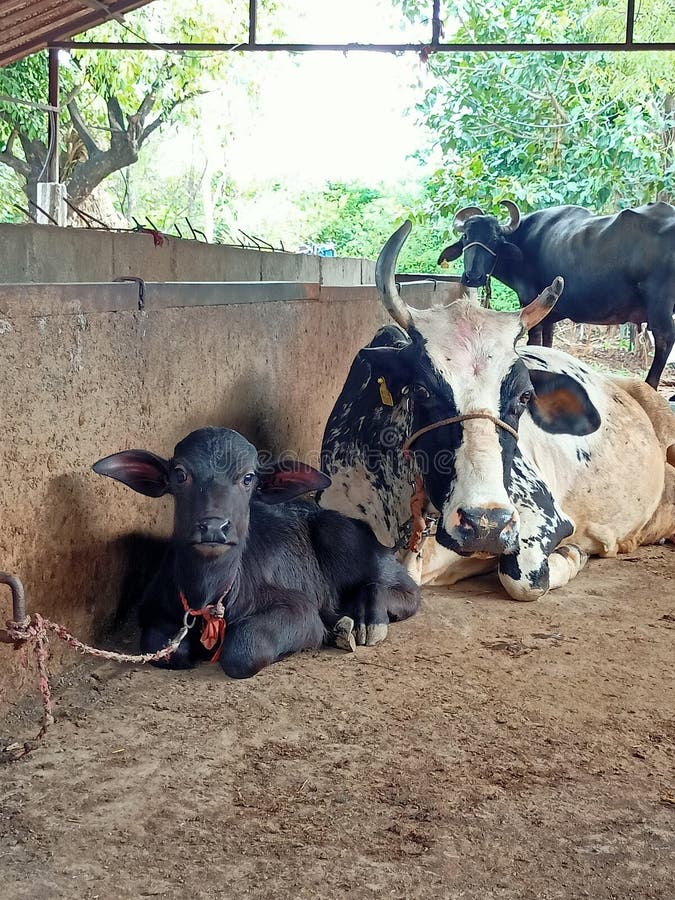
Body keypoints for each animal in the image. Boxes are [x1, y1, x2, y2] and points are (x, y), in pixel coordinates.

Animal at [93, 427, 420, 677]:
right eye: (180, 474)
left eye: (248, 477)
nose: (213, 527)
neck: (210, 597)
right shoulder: (151, 608)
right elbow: (168, 651)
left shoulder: (299, 611)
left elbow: (243, 651)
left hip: (341, 536)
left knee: (405, 589)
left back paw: (369, 620)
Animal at [320, 222, 675, 601]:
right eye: (421, 389)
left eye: (524, 397)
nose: (484, 524)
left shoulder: (543, 516)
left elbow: (524, 580)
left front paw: (573, 553)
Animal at [437, 200, 675, 389]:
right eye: (466, 237)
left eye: (494, 240)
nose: (473, 277)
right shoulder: (550, 312)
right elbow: (548, 342)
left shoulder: (530, 300)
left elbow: (534, 339)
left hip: (659, 305)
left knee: (664, 338)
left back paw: (651, 384)